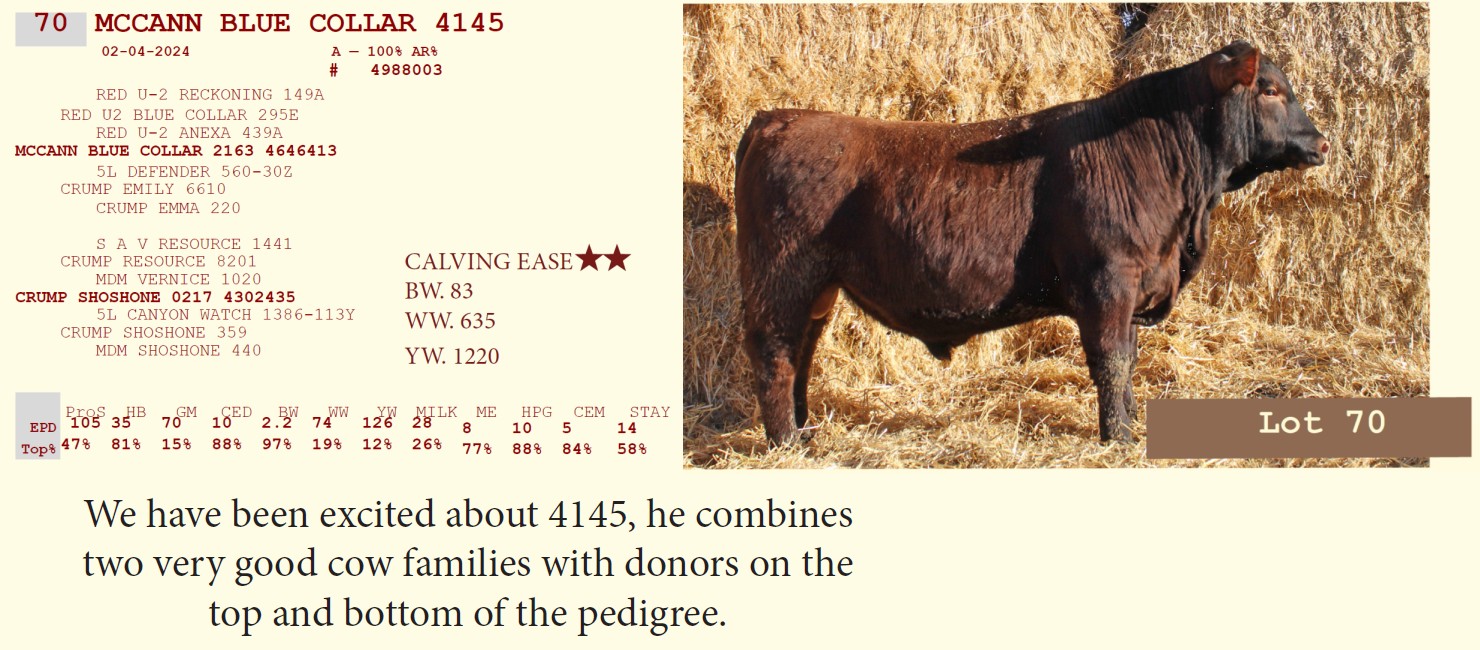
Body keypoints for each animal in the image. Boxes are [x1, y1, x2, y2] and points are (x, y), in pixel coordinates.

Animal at [734, 41, 1329, 447]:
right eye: (1270, 89)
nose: (1322, 142)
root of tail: (775, 117)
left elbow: (1128, 360)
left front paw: (1130, 425)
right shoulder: (1109, 283)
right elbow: (1113, 362)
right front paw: (1119, 437)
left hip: (818, 289)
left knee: (802, 353)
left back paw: (806, 432)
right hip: (780, 278)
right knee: (774, 355)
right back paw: (787, 443)